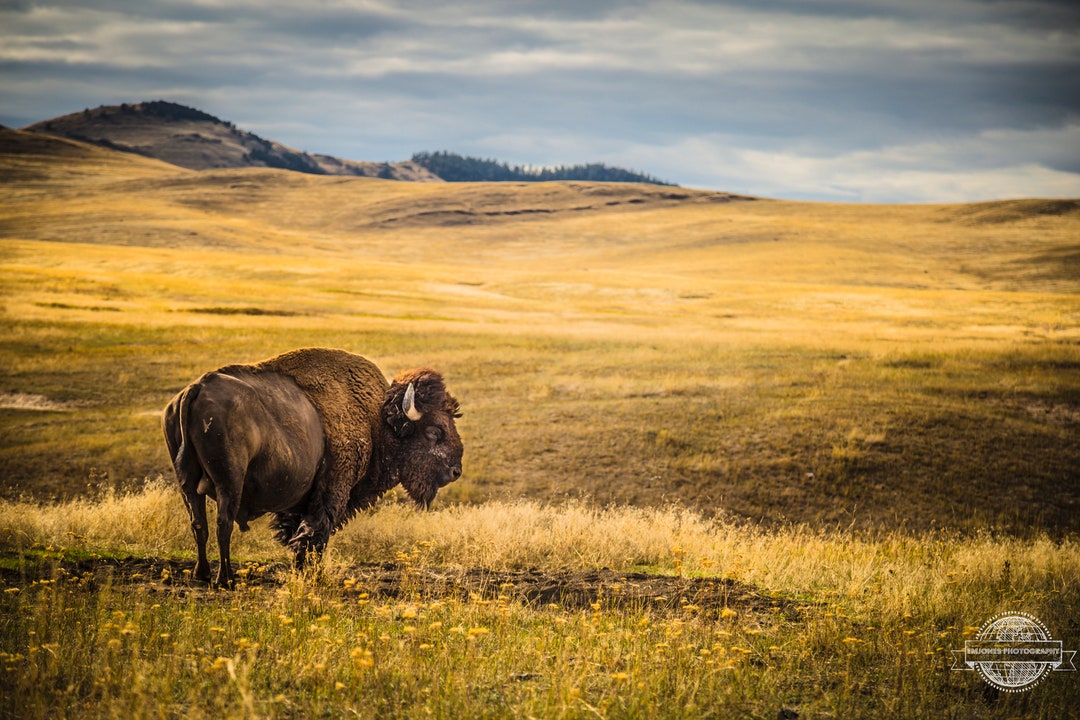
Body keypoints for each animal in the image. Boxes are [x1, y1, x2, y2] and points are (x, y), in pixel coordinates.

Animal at [162, 348, 463, 587]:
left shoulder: (301, 501)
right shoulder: (331, 492)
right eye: (434, 431)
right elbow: (315, 534)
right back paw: (226, 579)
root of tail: (196, 388)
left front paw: (300, 571)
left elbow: (298, 535)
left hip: (188, 485)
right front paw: (314, 576)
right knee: (222, 524)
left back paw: (201, 574)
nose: (455, 471)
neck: (376, 421)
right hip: (229, 483)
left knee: (198, 524)